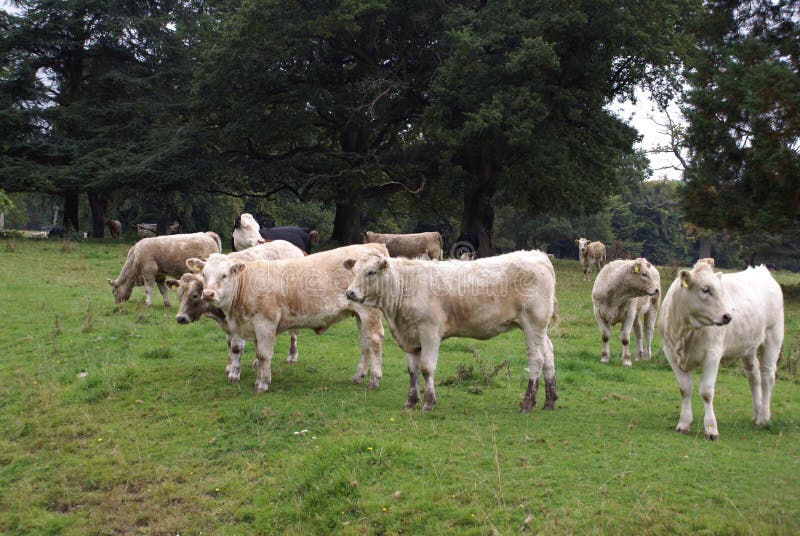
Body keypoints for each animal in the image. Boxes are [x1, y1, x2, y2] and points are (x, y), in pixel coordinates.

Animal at [166, 240, 305, 383]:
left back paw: (292, 356)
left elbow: (236, 348)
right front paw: (230, 366)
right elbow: (230, 345)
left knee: (293, 334)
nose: (180, 318)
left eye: (194, 295)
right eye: (179, 295)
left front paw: (234, 373)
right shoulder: (229, 326)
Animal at [192, 243, 387, 393]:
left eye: (224, 275)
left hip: (370, 313)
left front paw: (262, 384)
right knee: (365, 343)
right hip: (360, 316)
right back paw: (358, 376)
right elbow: (255, 353)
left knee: (375, 341)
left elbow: (263, 355)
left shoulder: (265, 324)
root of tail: (373, 246)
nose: (208, 294)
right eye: (203, 274)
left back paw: (375, 379)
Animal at [344, 250, 557, 412]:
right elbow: (412, 371)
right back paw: (550, 400)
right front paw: (411, 401)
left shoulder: (429, 332)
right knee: (548, 354)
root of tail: (537, 255)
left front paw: (428, 403)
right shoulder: (410, 337)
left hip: (532, 323)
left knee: (536, 359)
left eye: (371, 272)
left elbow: (426, 368)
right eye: (353, 271)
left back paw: (528, 403)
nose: (350, 293)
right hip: (540, 328)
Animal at [657, 258, 784, 440]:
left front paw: (711, 429)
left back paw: (763, 418)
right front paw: (684, 423)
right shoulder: (670, 353)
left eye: (720, 290)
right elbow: (685, 388)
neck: (685, 331)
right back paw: (756, 413)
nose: (728, 316)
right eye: (705, 289)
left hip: (773, 337)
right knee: (754, 376)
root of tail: (761, 270)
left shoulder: (712, 355)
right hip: (748, 347)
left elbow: (706, 392)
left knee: (767, 376)